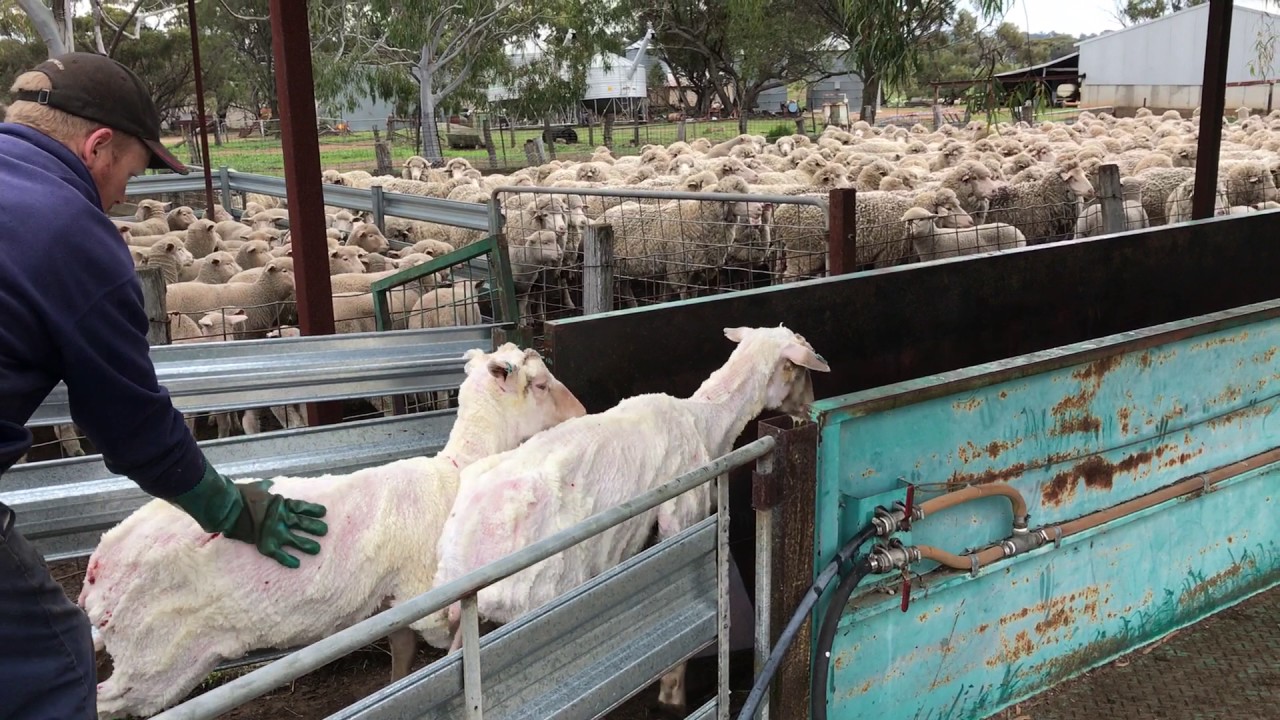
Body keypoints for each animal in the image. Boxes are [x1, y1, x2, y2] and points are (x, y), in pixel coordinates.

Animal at [81, 343, 586, 720]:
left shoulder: (393, 601)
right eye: (541, 384)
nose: (582, 410)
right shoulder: (426, 596)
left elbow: (402, 655)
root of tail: (98, 568)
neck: (456, 469)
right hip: (153, 661)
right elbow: (450, 646)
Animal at [433, 325, 829, 714]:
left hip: (467, 620)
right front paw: (671, 695)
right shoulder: (683, 520)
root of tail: (463, 554)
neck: (705, 419)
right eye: (803, 367)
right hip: (532, 608)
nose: (809, 410)